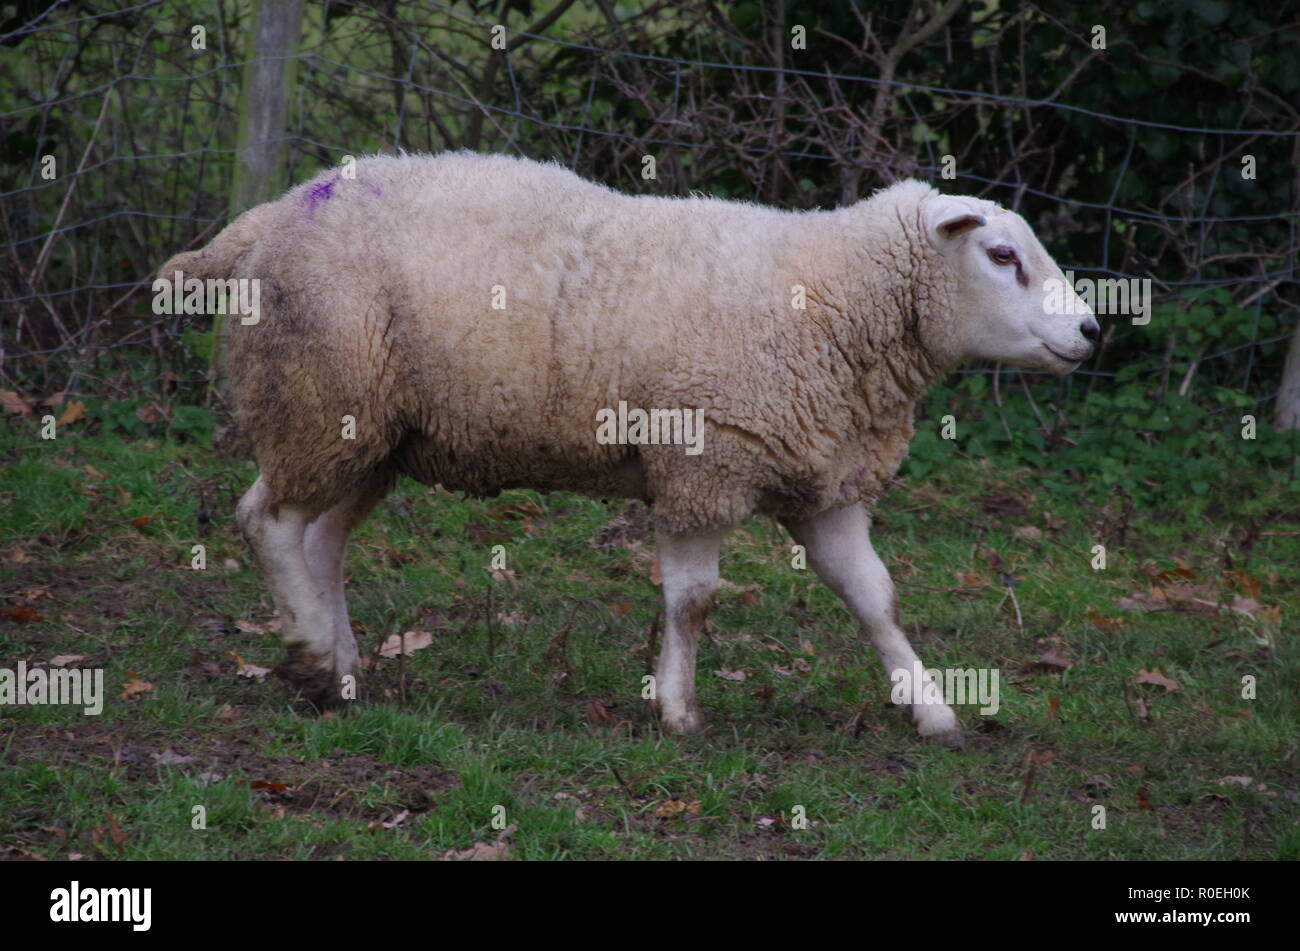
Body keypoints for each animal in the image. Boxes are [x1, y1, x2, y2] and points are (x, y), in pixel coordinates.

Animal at [160, 151, 1098, 746]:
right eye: (1002, 253)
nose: (1092, 330)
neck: (831, 298)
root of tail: (269, 215)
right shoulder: (703, 462)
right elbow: (694, 601)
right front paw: (677, 711)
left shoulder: (825, 484)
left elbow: (875, 600)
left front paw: (931, 709)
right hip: (319, 397)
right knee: (266, 518)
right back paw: (310, 650)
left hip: (377, 432)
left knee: (320, 538)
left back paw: (341, 670)